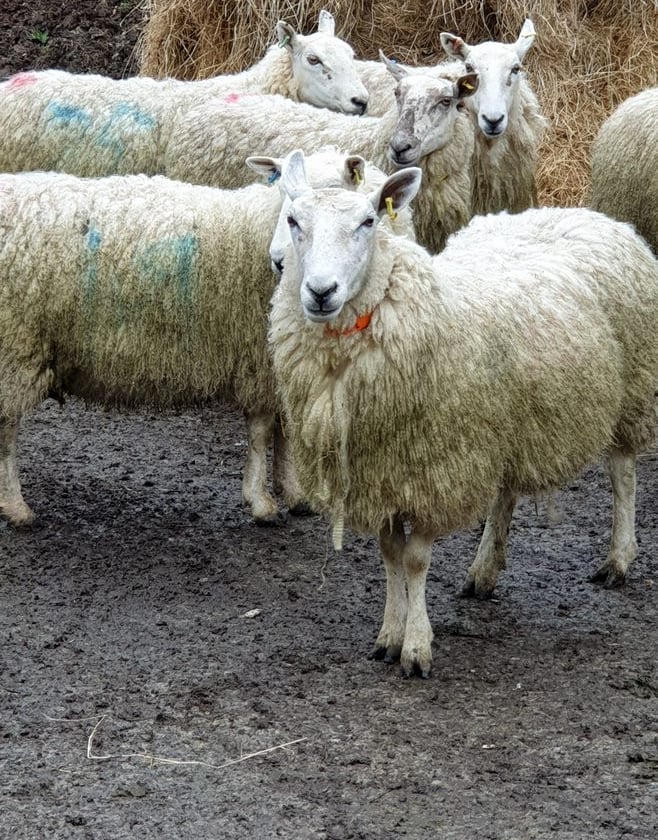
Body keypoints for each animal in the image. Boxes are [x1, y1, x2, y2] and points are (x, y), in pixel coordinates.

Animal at [0, 149, 368, 529]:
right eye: (283, 192)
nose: (278, 259)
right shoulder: (258, 362)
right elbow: (261, 431)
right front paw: (261, 501)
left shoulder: (284, 363)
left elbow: (285, 431)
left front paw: (294, 493)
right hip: (15, 346)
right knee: (7, 430)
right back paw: (15, 506)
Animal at [268, 150, 658, 678]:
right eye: (293, 221)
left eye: (368, 222)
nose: (320, 291)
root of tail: (585, 213)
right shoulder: (381, 471)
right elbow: (389, 554)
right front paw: (389, 635)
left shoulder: (435, 468)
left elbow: (414, 561)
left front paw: (416, 647)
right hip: (507, 420)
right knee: (505, 492)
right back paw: (484, 570)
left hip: (631, 389)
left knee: (622, 476)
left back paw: (618, 559)